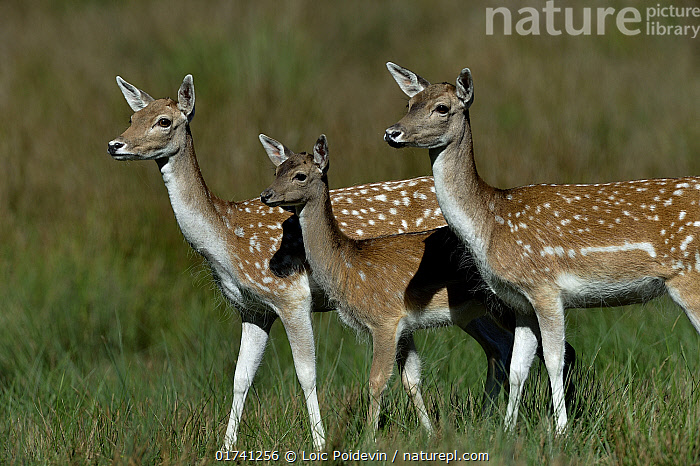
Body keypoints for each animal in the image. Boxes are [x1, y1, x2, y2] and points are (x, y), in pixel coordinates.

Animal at [107, 74, 526, 450]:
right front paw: (225, 449)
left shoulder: (290, 297)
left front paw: (321, 444)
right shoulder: (253, 309)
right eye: (132, 116)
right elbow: (241, 378)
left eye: (164, 121)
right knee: (499, 347)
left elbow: (306, 373)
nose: (115, 143)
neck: (227, 239)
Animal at [259, 133, 576, 438]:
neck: (349, 267)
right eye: (275, 171)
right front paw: (429, 432)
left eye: (300, 175)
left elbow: (376, 381)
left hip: (508, 303)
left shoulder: (384, 319)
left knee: (562, 349)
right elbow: (411, 379)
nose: (266, 194)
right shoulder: (405, 325)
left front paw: (368, 438)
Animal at [383, 61, 700, 435]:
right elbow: (519, 367)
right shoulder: (520, 302)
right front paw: (507, 431)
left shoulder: (545, 288)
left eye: (442, 108)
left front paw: (561, 429)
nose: (393, 133)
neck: (490, 224)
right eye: (409, 104)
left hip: (690, 278)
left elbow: (553, 360)